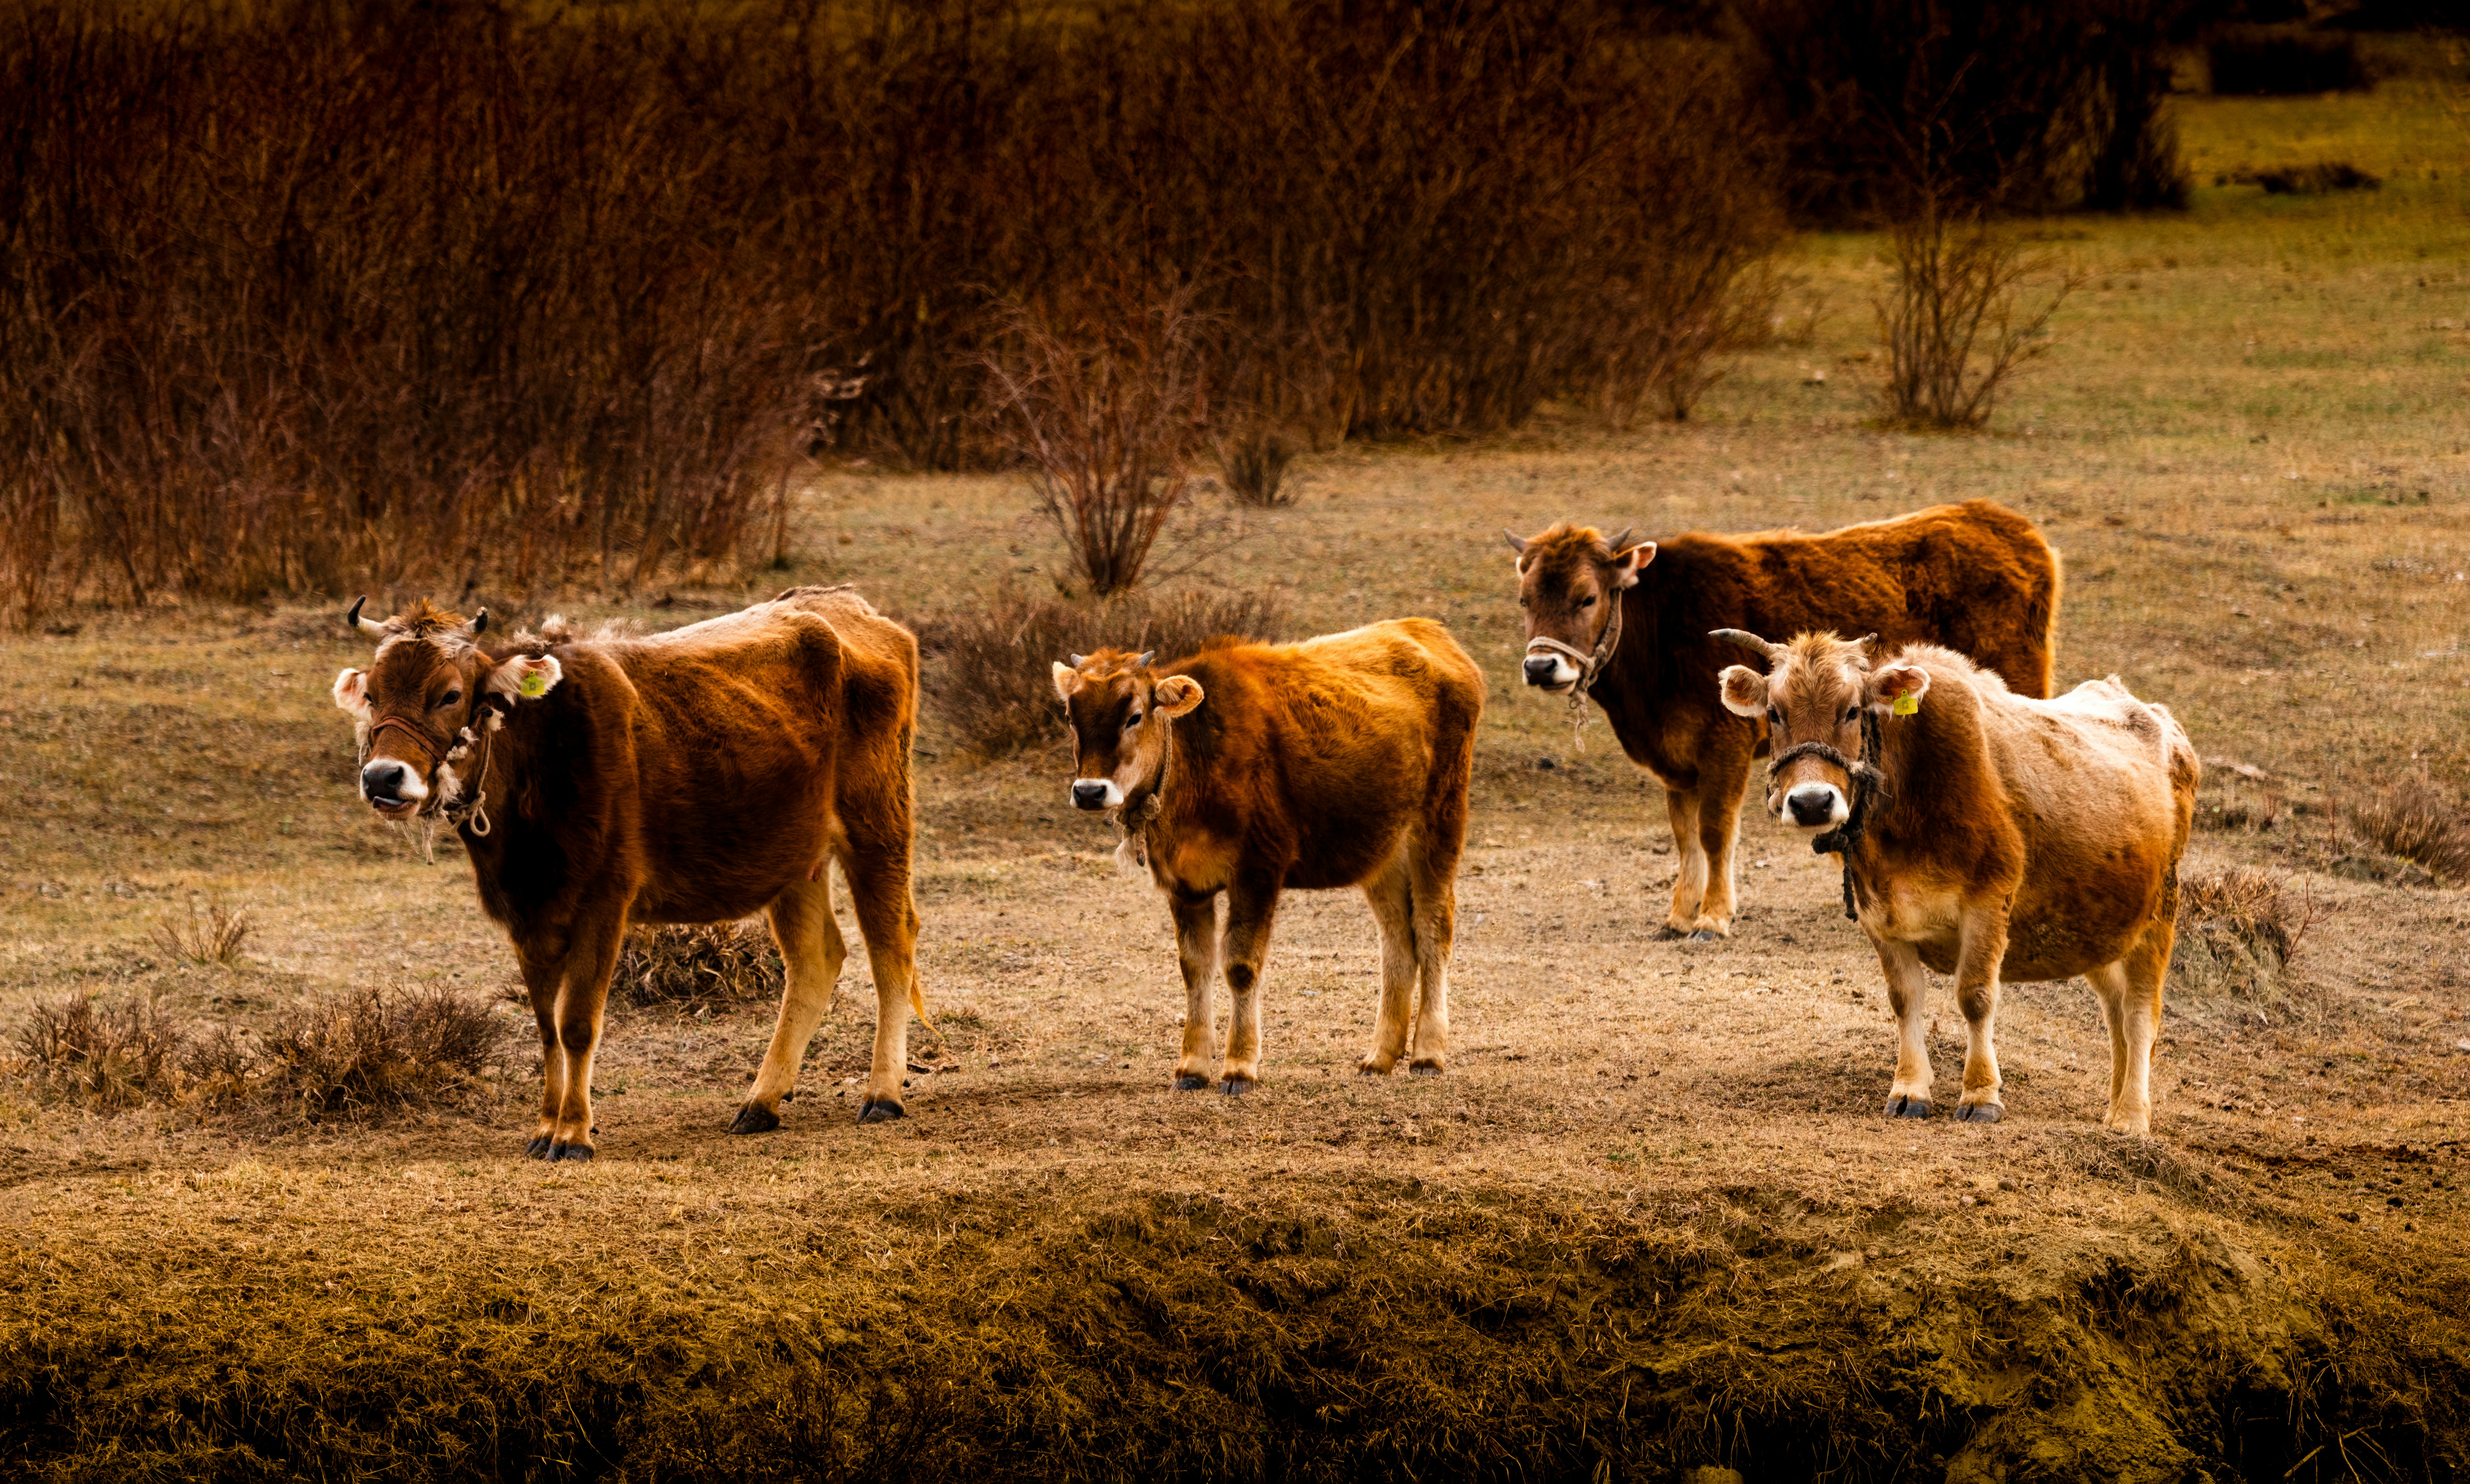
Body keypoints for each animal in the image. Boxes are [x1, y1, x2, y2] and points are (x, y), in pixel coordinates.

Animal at [330, 587, 927, 1160]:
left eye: (451, 694)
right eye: (373, 694)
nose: (383, 777)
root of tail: (852, 608)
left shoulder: (603, 902)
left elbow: (576, 1025)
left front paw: (573, 1132)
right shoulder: (528, 915)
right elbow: (546, 1028)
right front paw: (545, 1126)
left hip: (878, 825)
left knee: (891, 946)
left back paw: (883, 1092)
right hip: (793, 861)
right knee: (815, 959)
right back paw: (761, 1101)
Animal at [1051, 621, 1484, 1092]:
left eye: (1135, 716)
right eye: (1072, 718)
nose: (1090, 791)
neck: (1199, 764)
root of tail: (1426, 631)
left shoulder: (1258, 869)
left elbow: (1240, 965)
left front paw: (1239, 1067)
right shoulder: (1184, 884)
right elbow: (1194, 968)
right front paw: (1192, 1066)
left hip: (1439, 825)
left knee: (1432, 930)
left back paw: (1428, 1054)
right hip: (1382, 849)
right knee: (1397, 939)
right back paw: (1379, 1057)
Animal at [1506, 499, 2059, 942]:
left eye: (1587, 597)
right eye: (1524, 599)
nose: (1540, 667)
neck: (1661, 635)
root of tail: (1997, 520)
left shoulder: (1724, 744)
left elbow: (1713, 831)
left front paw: (1713, 918)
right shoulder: (1677, 762)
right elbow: (1684, 835)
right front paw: (1679, 915)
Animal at [1713, 629, 2197, 1132]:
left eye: (1852, 710)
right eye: (1775, 712)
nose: (1811, 803)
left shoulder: (1989, 899)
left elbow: (1976, 996)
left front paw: (1981, 1094)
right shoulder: (1878, 913)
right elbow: (1904, 998)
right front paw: (1909, 1089)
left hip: (2159, 915)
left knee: (2140, 1013)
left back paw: (2131, 1117)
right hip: (2100, 930)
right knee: (2116, 1013)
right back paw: (2114, 1109)